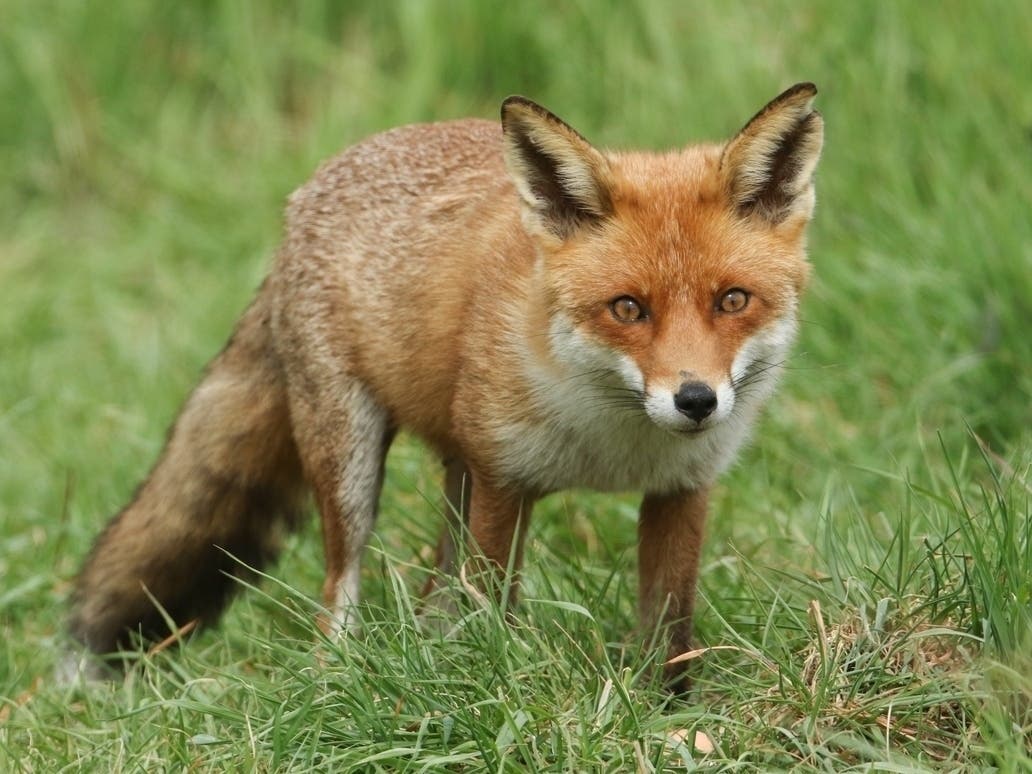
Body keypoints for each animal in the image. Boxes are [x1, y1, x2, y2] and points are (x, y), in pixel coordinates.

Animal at [66, 83, 823, 689]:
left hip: (457, 472)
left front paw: (668, 715)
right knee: (341, 588)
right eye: (628, 308)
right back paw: (338, 680)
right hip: (353, 463)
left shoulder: (680, 489)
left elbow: (670, 630)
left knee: (434, 589)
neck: (611, 438)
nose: (696, 400)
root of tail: (309, 190)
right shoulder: (505, 482)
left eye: (732, 300)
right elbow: (494, 610)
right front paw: (503, 688)